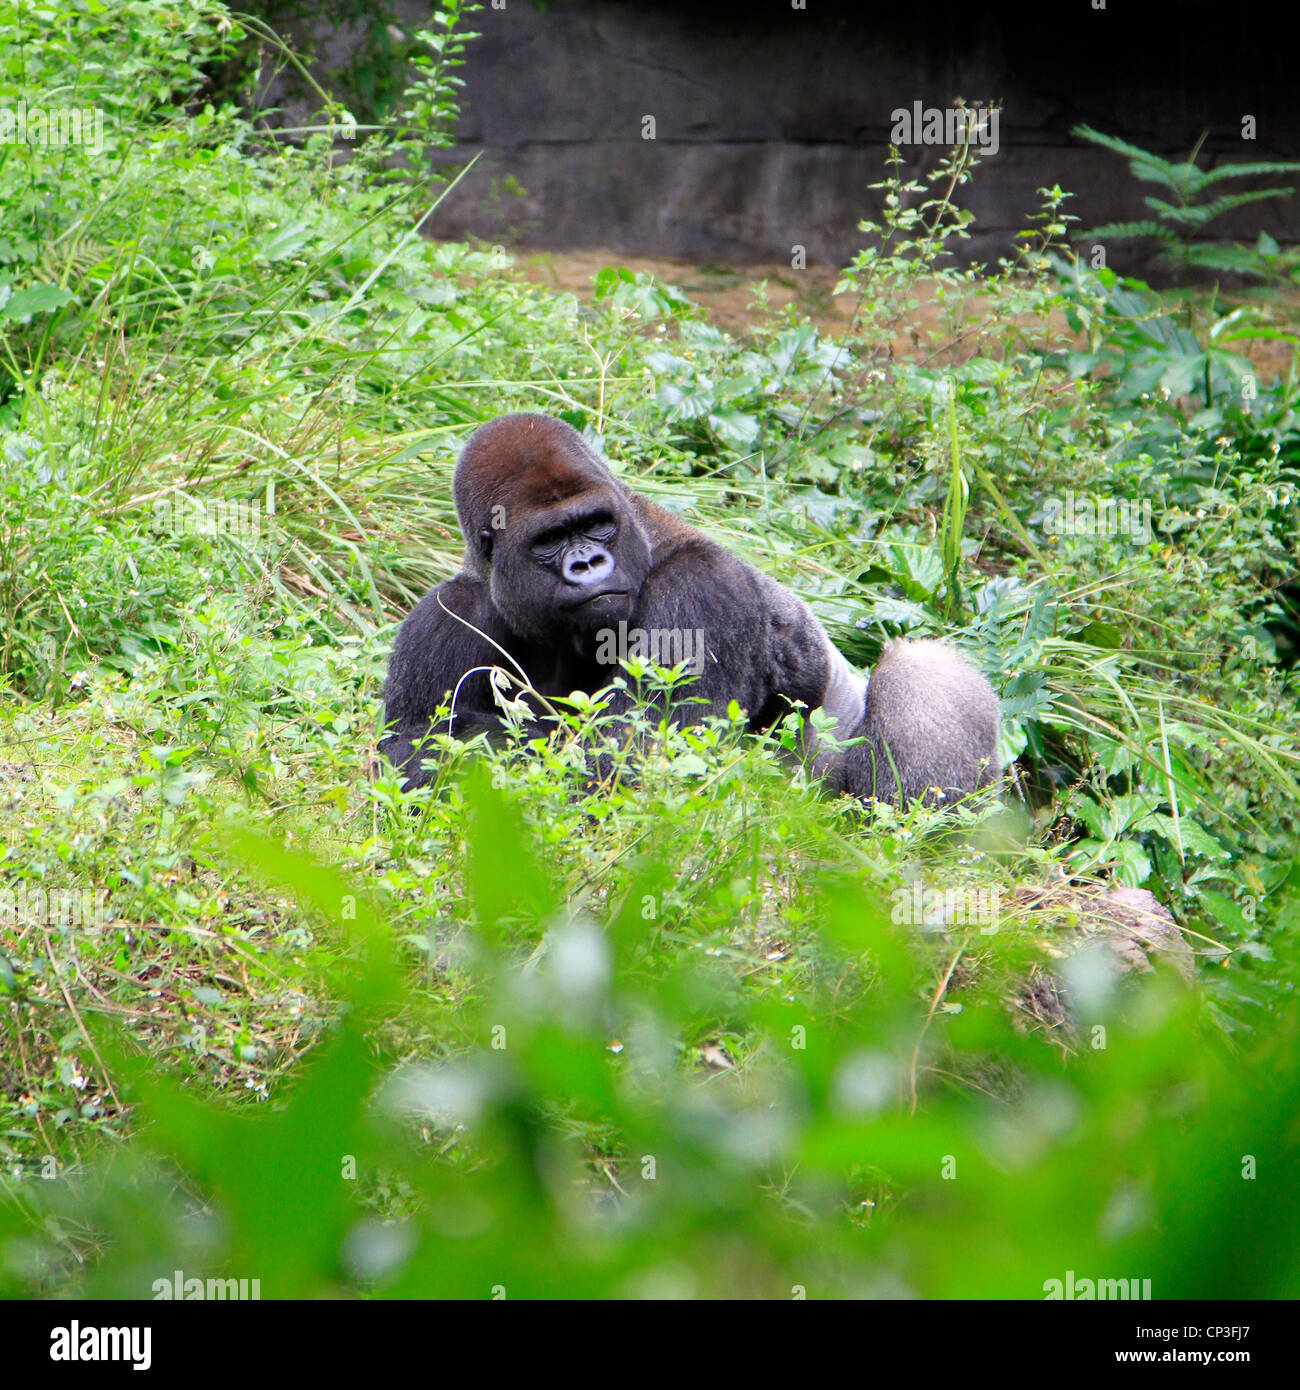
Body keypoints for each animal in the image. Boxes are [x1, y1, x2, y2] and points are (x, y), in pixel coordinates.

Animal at [380, 413, 1001, 806]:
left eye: (596, 524)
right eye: (551, 540)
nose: (590, 563)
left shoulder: (701, 585)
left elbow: (646, 756)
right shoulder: (444, 616)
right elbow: (406, 754)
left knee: (923, 670)